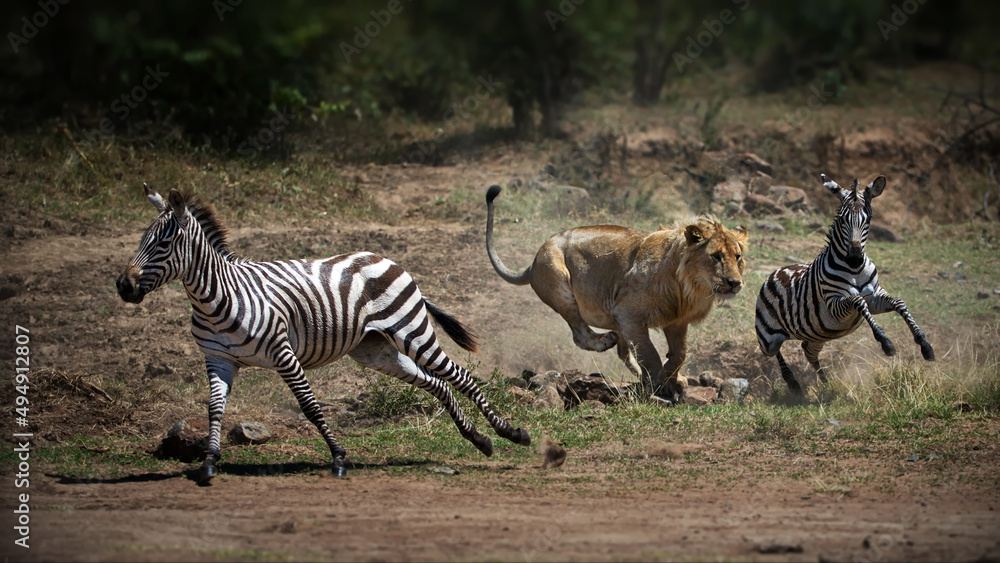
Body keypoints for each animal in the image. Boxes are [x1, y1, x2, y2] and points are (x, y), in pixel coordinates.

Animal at [485, 185, 749, 400]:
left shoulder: (676, 322)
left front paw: (672, 378)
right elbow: (649, 352)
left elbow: (679, 354)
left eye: (737, 256)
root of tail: (532, 263)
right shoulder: (628, 313)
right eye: (716, 256)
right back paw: (604, 341)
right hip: (560, 283)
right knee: (580, 334)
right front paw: (661, 384)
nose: (735, 282)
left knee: (623, 351)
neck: (687, 287)